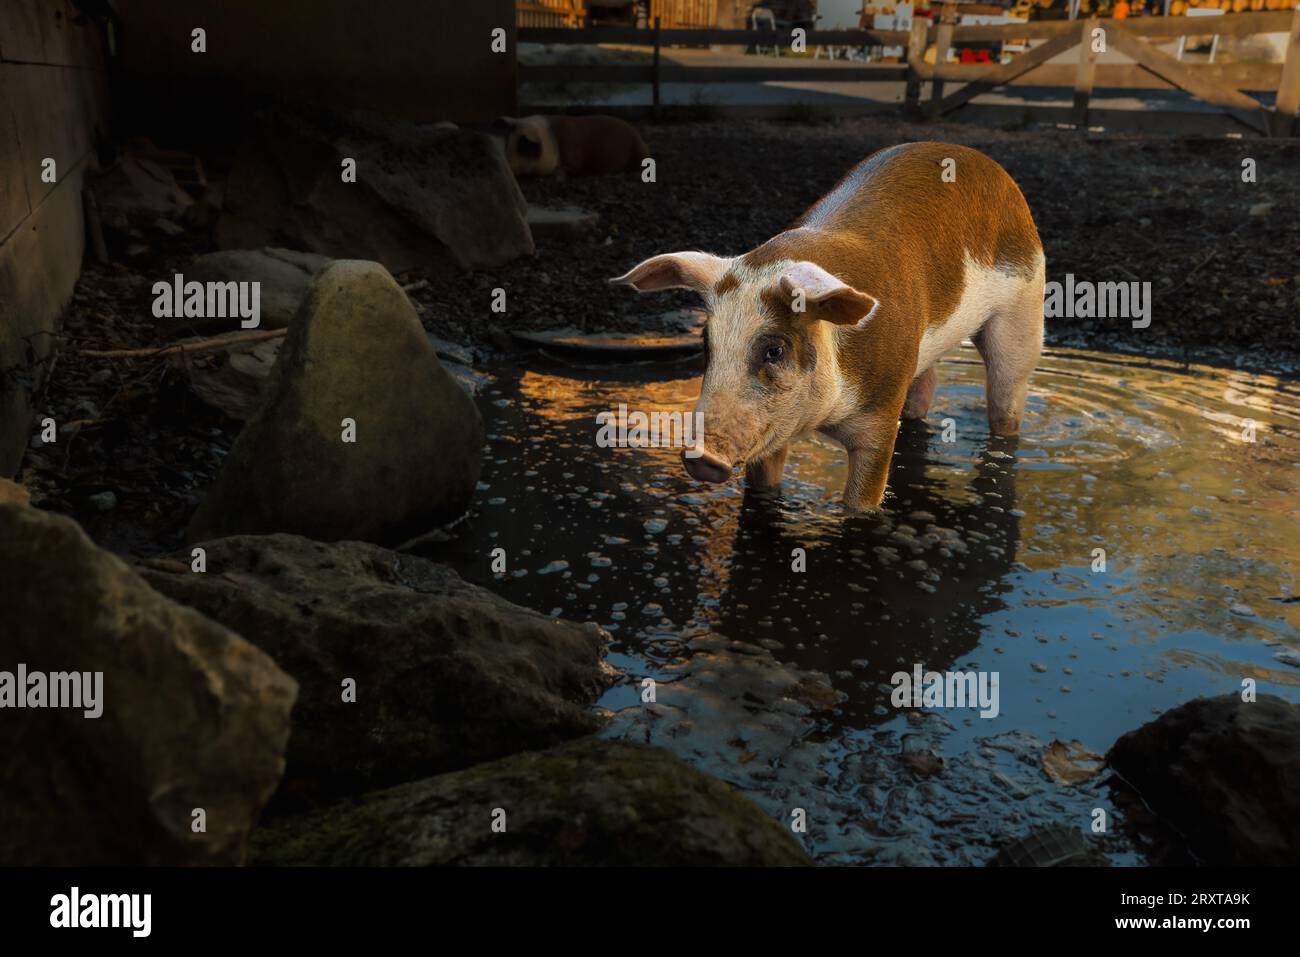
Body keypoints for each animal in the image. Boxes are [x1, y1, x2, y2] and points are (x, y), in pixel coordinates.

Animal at [611, 141, 1044, 511]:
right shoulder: (772, 430)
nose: (702, 458)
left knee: (1006, 396)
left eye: (775, 349)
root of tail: (990, 167)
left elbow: (861, 497)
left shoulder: (879, 415)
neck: (825, 418)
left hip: (1024, 312)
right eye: (705, 344)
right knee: (927, 382)